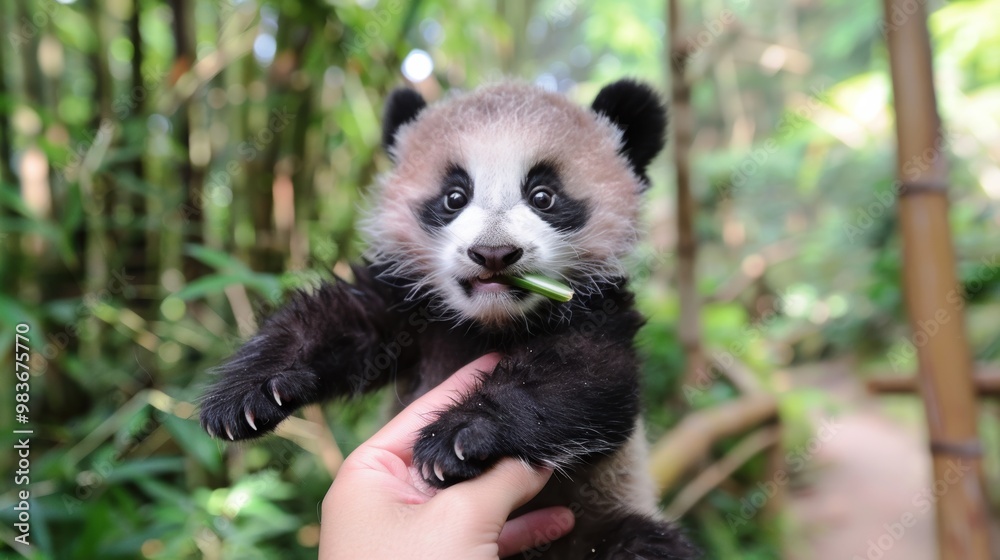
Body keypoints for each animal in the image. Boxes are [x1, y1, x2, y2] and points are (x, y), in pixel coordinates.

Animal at [199, 79, 699, 559]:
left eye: (543, 196)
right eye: (455, 196)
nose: (494, 253)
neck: (490, 321)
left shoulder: (599, 307)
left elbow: (587, 377)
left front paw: (461, 434)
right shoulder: (410, 304)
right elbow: (338, 321)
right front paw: (248, 396)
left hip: (596, 521)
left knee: (646, 545)